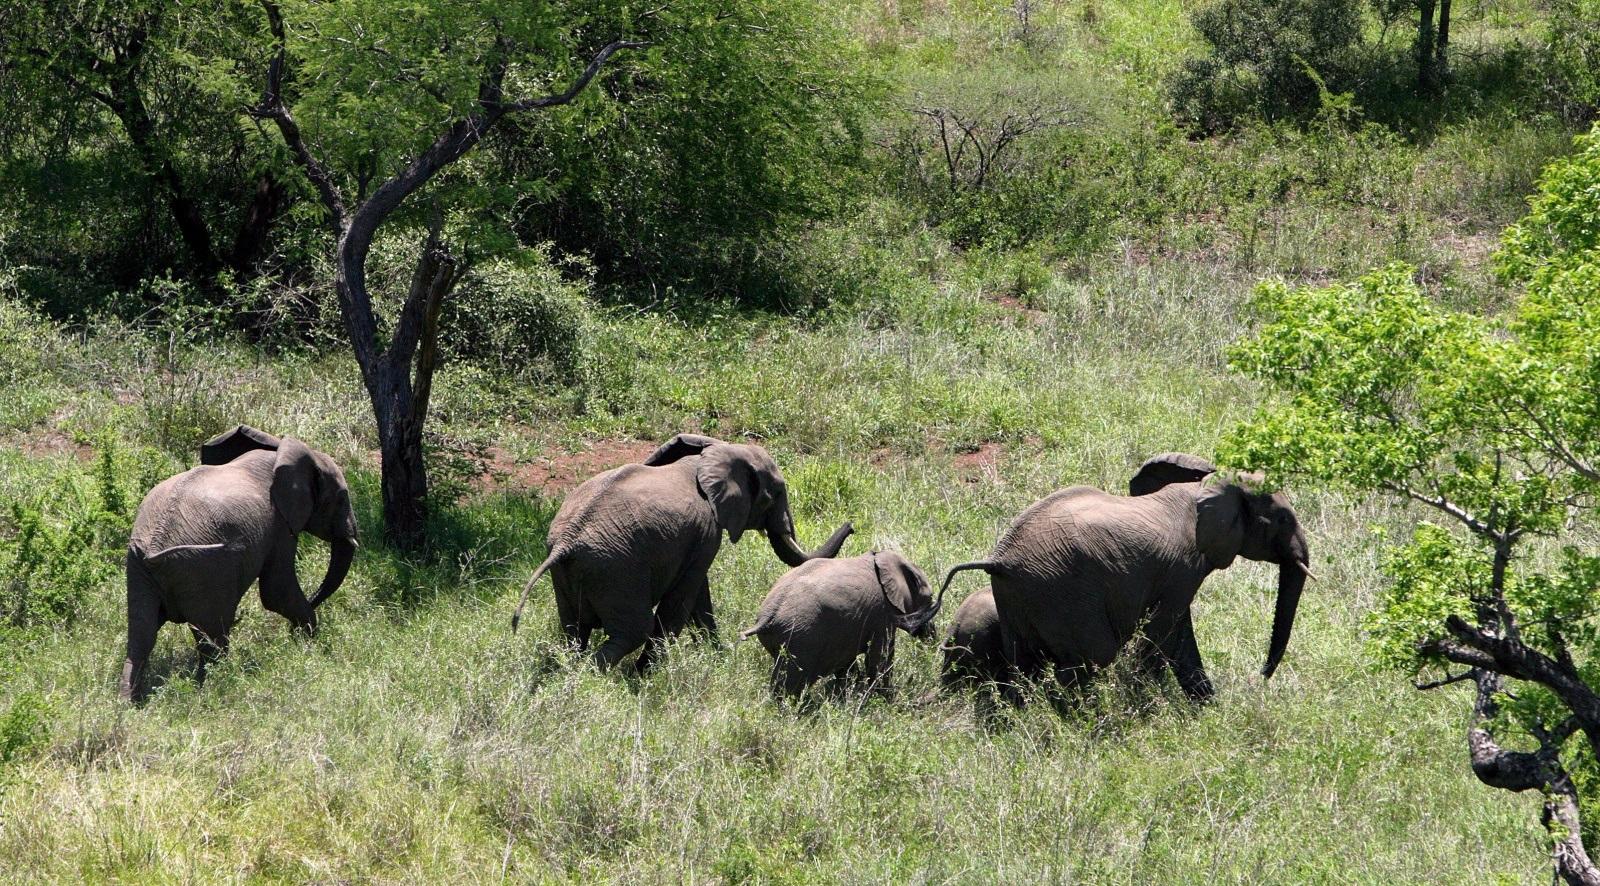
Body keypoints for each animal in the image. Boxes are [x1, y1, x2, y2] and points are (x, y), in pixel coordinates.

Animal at [122, 425, 358, 702]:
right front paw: (308, 637)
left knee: (142, 636)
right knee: (212, 639)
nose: (291, 636)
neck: (279, 452)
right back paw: (213, 689)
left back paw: (130, 703)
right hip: (204, 570)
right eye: (341, 498)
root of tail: (154, 548)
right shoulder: (279, 524)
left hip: (138, 567)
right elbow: (276, 592)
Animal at [512, 433, 854, 672]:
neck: (710, 453)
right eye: (777, 492)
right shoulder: (705, 533)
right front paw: (644, 675)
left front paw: (719, 658)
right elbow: (683, 600)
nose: (852, 525)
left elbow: (699, 598)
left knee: (574, 629)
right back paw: (597, 678)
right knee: (634, 630)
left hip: (573, 575)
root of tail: (565, 543)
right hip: (616, 572)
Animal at [741, 551, 941, 697]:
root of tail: (768, 615)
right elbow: (879, 657)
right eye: (929, 598)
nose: (934, 645)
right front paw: (885, 698)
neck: (883, 557)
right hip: (800, 638)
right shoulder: (882, 612)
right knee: (792, 680)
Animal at [940, 452, 1313, 703]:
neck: (1205, 488)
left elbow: (1179, 635)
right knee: (1090, 657)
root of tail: (999, 559)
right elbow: (1164, 634)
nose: (1258, 677)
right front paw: (1150, 708)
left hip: (1018, 599)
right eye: (1283, 518)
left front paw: (1205, 710)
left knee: (1024, 666)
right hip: (1060, 593)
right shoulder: (1183, 568)